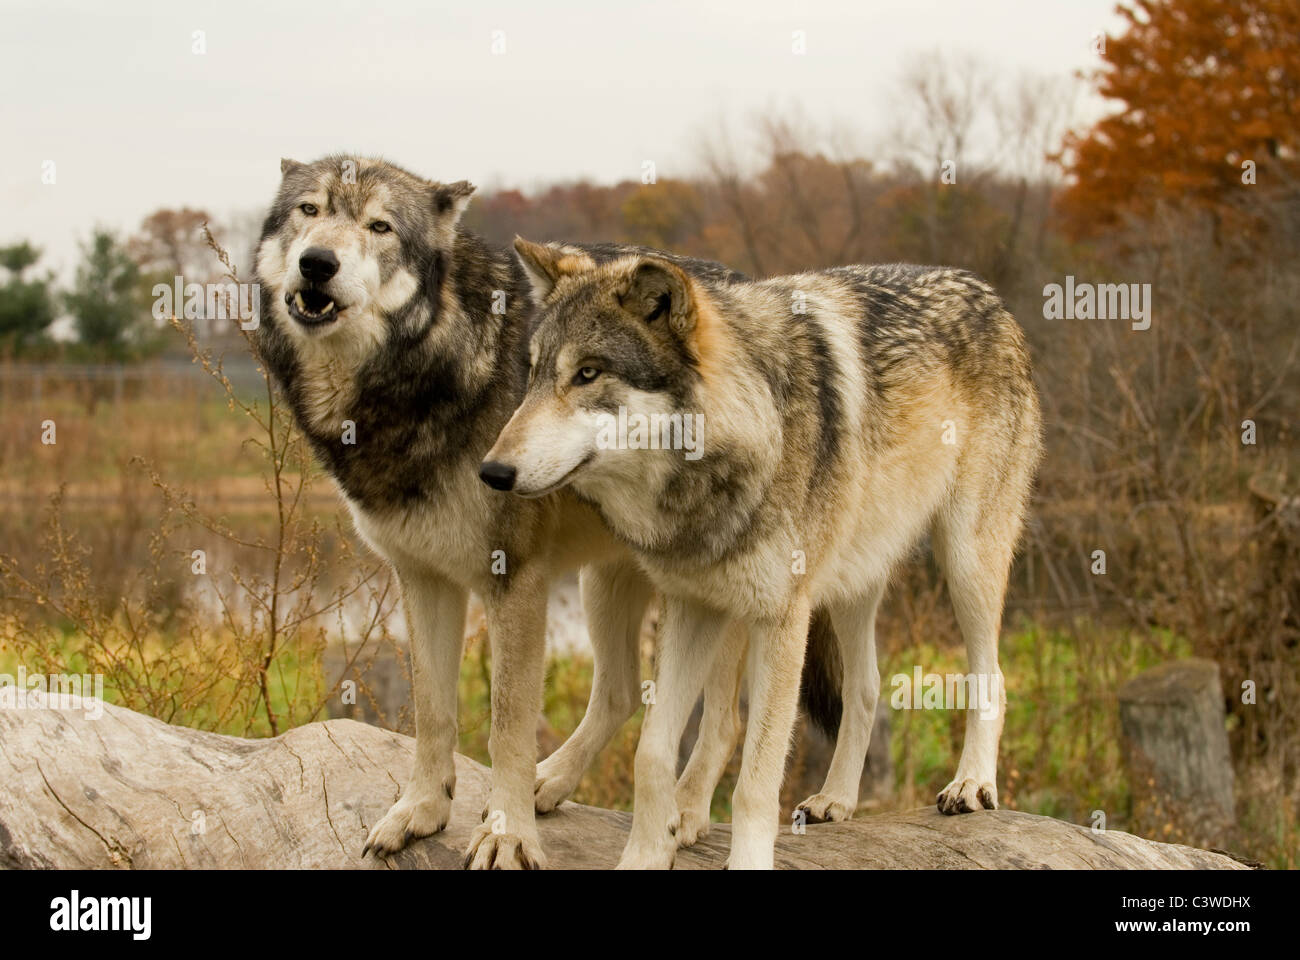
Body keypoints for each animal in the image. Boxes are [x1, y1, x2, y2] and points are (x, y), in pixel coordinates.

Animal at [250, 156, 758, 868]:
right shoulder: (422, 578)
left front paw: (506, 832)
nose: (317, 263)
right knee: (621, 691)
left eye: (380, 226)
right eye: (309, 211)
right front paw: (420, 811)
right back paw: (556, 782)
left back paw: (681, 814)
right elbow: (433, 711)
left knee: (724, 720)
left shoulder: (513, 579)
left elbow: (507, 725)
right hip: (605, 583)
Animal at [483, 240, 1044, 868]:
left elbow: (755, 778)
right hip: (850, 584)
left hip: (966, 561)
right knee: (865, 686)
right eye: (533, 374)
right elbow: (652, 753)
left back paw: (971, 784)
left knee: (991, 675)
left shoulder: (780, 618)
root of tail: (987, 293)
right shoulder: (693, 605)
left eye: (587, 373)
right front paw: (646, 853)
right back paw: (835, 798)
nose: (492, 471)